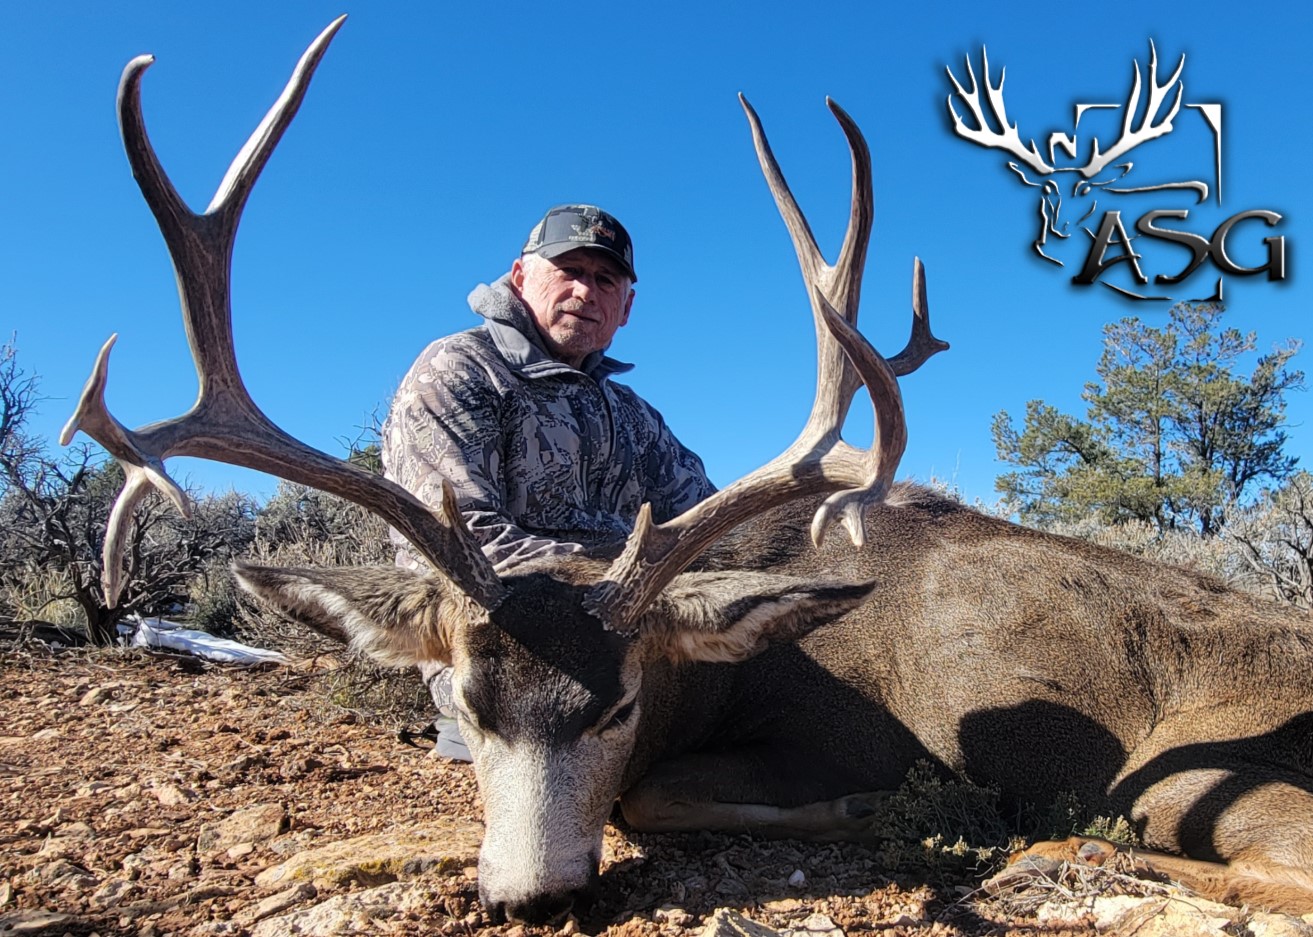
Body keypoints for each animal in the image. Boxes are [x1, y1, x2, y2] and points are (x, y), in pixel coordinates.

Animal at [64, 17, 1313, 927]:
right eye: (464, 704)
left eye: (619, 703)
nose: (529, 898)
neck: (723, 672)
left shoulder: (843, 735)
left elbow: (658, 793)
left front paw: (886, 810)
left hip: (1182, 774)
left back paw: (1049, 848)